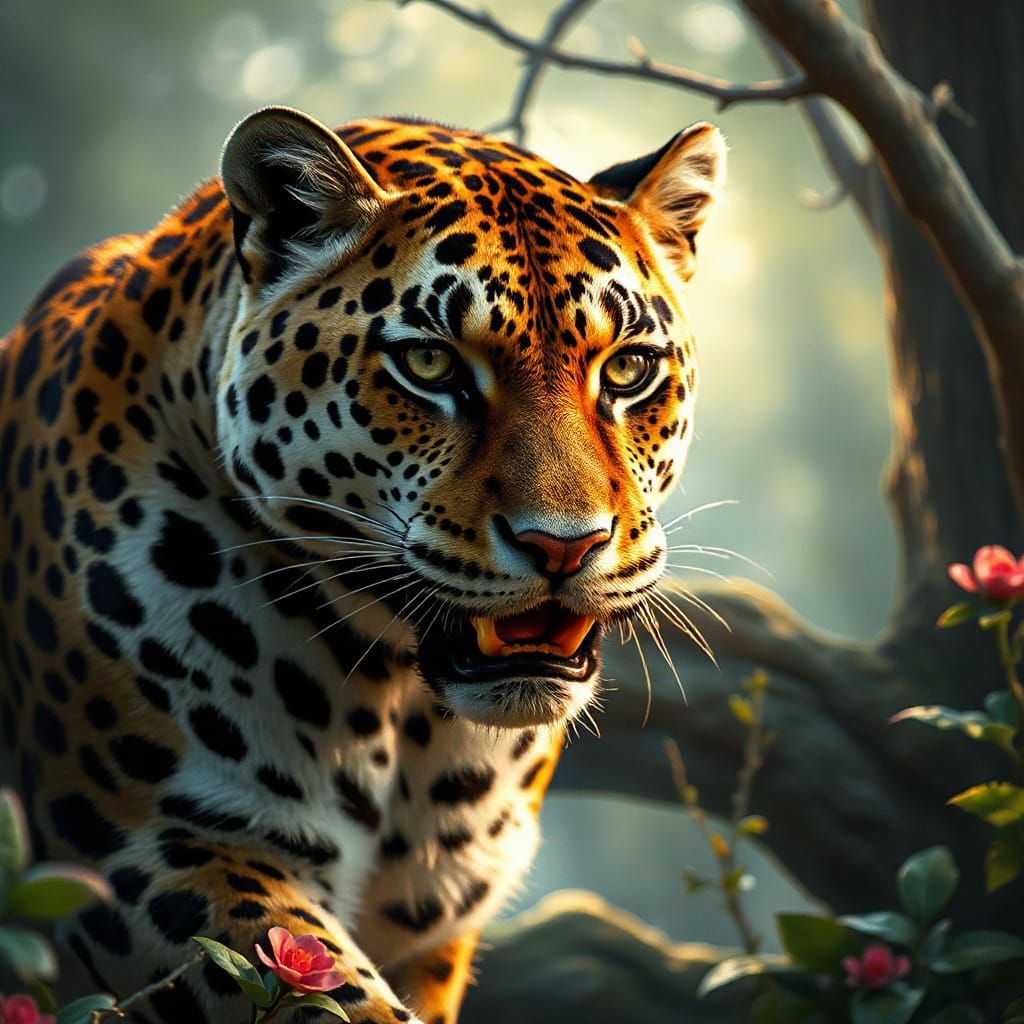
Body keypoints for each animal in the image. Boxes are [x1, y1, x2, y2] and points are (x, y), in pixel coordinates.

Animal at [0, 105, 725, 1023]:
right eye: (430, 363)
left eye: (628, 368)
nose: (566, 544)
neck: (404, 707)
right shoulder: (159, 847)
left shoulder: (433, 921)